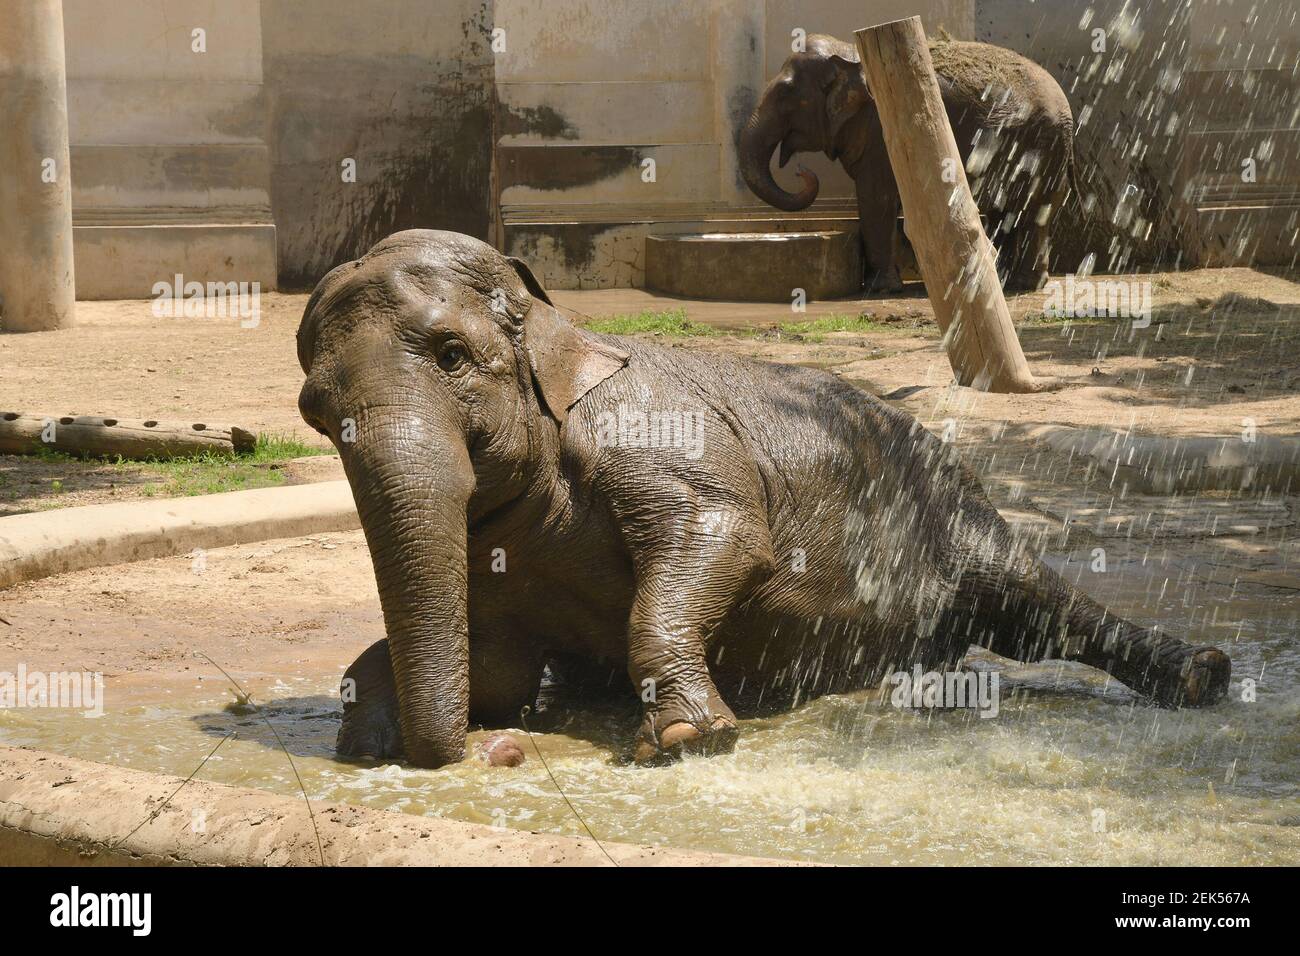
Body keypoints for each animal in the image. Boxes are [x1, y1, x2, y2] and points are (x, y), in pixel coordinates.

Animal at [297, 229, 1230, 769]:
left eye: (452, 356)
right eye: (313, 412)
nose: (459, 760)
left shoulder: (655, 431)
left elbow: (724, 532)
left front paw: (686, 741)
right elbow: (492, 664)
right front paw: (365, 731)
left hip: (952, 502)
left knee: (1037, 600)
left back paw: (1203, 678)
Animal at [740, 34, 1082, 292]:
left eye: (785, 91)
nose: (801, 170)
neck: (849, 53)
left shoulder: (881, 132)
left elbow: (876, 198)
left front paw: (879, 289)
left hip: (1043, 146)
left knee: (1032, 212)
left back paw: (1022, 285)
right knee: (1011, 212)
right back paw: (1008, 280)